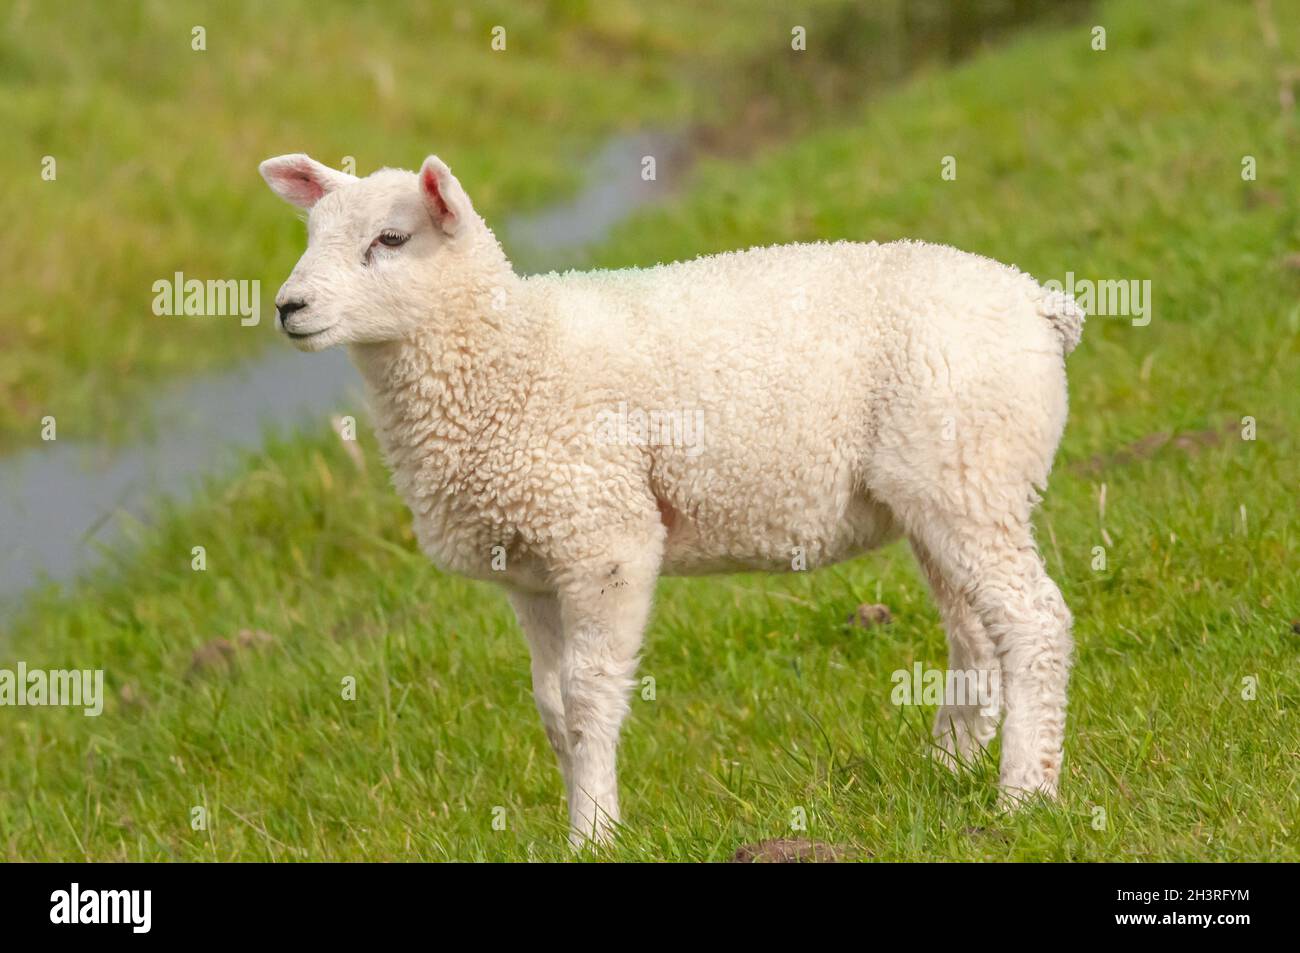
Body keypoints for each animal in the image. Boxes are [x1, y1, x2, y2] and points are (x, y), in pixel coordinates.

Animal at [259, 152, 1083, 848]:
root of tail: (1039, 302)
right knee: (975, 632)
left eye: (391, 239)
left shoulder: (601, 536)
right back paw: (949, 768)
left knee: (1034, 620)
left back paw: (1023, 795)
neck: (509, 355)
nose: (288, 307)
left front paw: (595, 834)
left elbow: (589, 699)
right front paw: (580, 820)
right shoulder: (529, 568)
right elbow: (552, 708)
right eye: (312, 234)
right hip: (944, 491)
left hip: (968, 469)